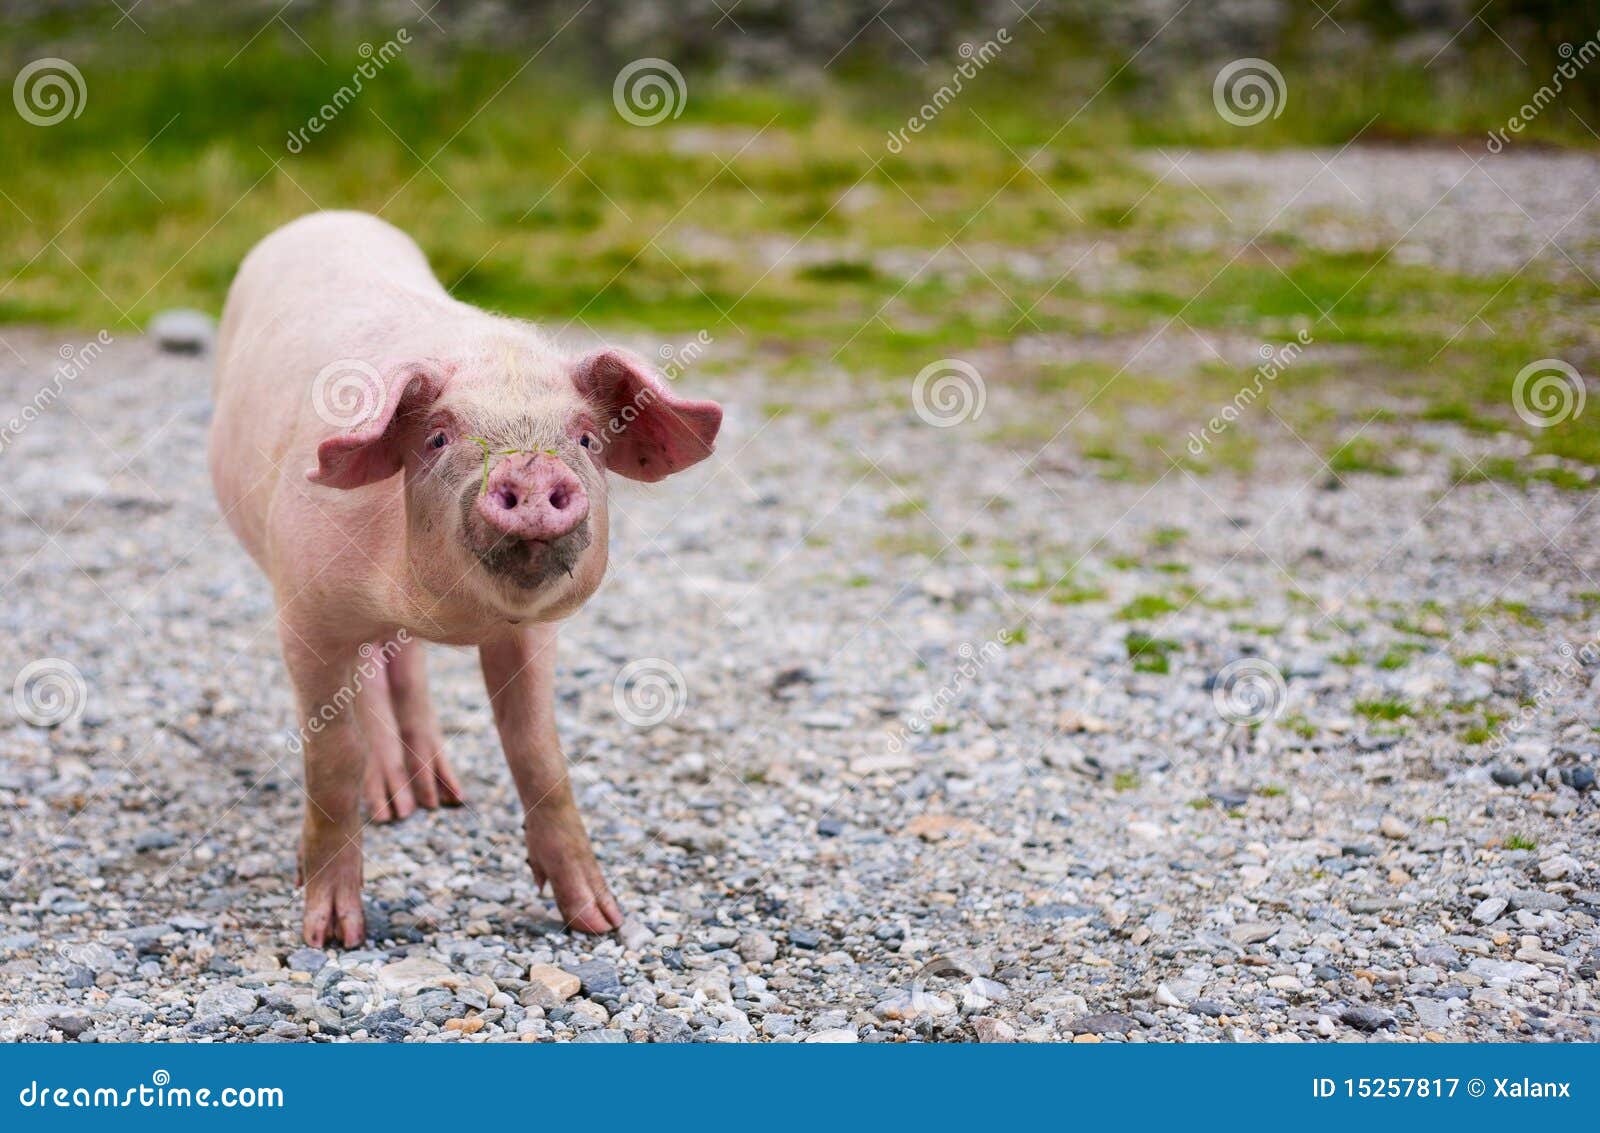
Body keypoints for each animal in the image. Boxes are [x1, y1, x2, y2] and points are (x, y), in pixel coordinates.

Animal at [209, 211, 722, 946]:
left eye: (586, 439)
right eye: (437, 438)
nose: (531, 467)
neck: (448, 616)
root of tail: (328, 215)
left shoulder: (530, 630)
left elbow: (538, 751)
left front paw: (600, 920)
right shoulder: (303, 610)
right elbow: (332, 756)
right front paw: (331, 934)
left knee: (403, 664)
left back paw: (439, 795)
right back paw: (394, 804)